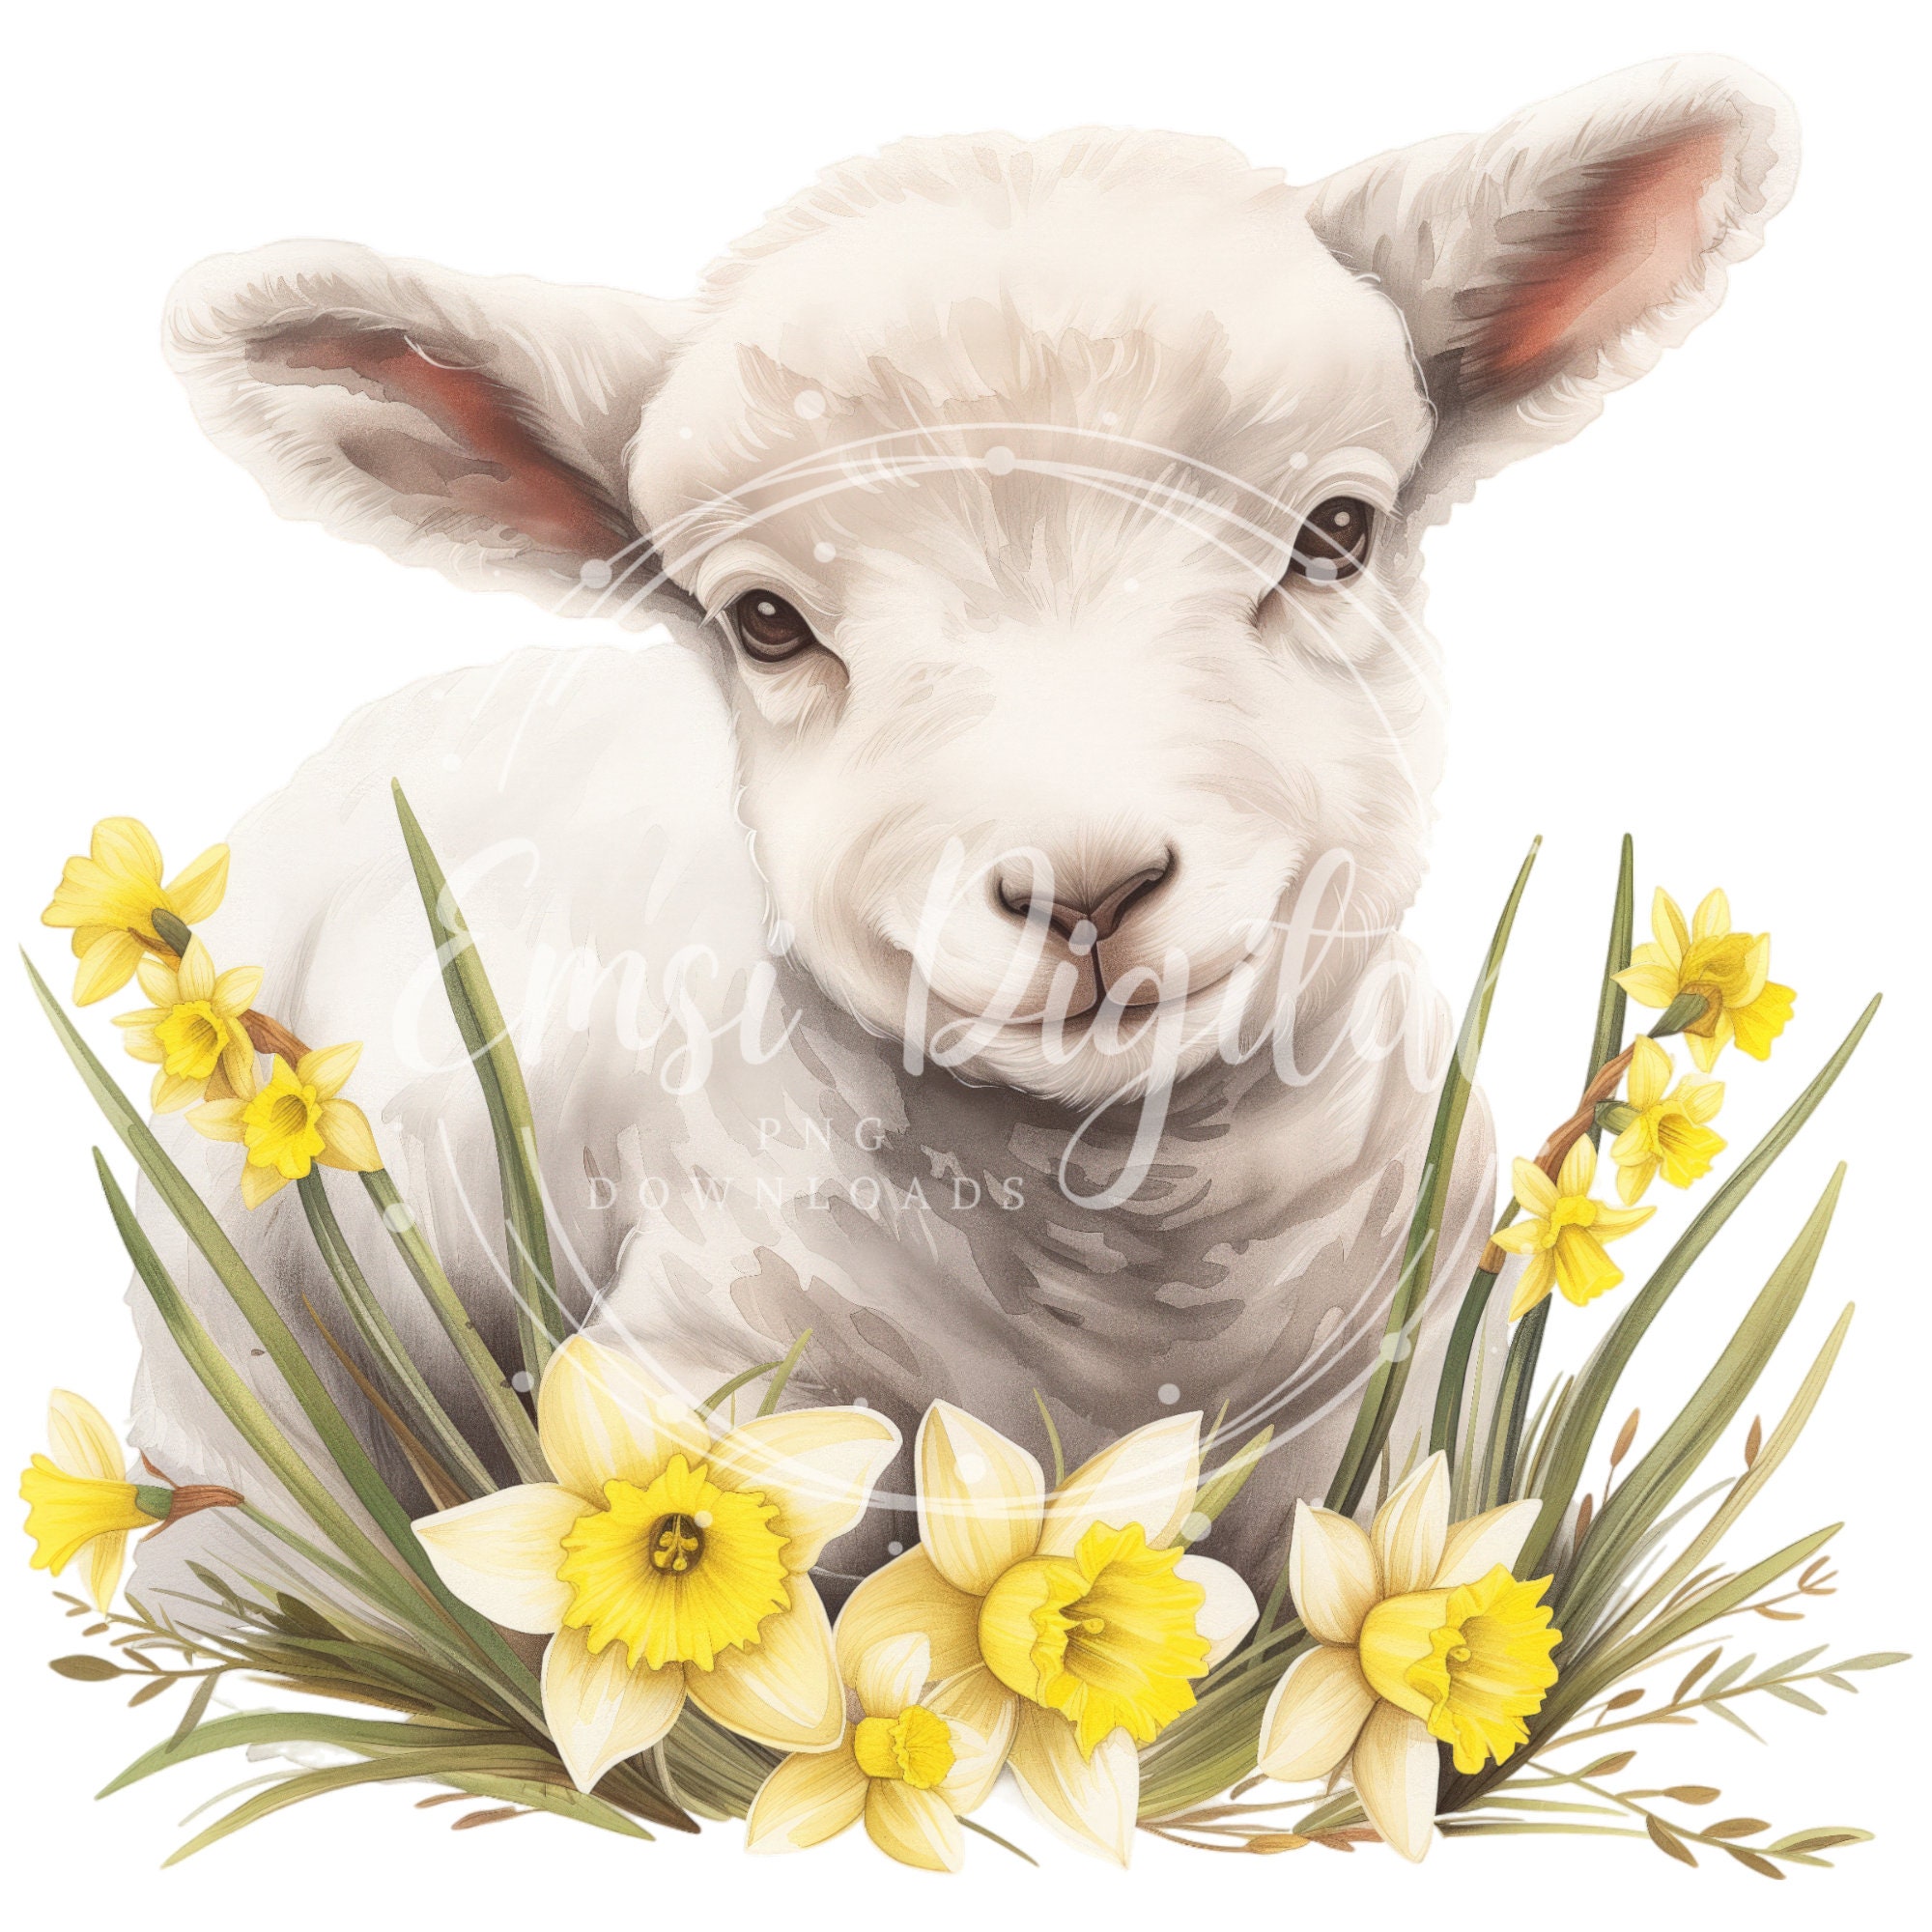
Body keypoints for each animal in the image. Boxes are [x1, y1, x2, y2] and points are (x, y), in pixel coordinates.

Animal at [132, 56, 1795, 1597]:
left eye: (1336, 534)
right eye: (764, 621)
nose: (1085, 891)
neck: (1130, 1276)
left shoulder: (1428, 1395)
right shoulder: (695, 1382)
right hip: (243, 1328)